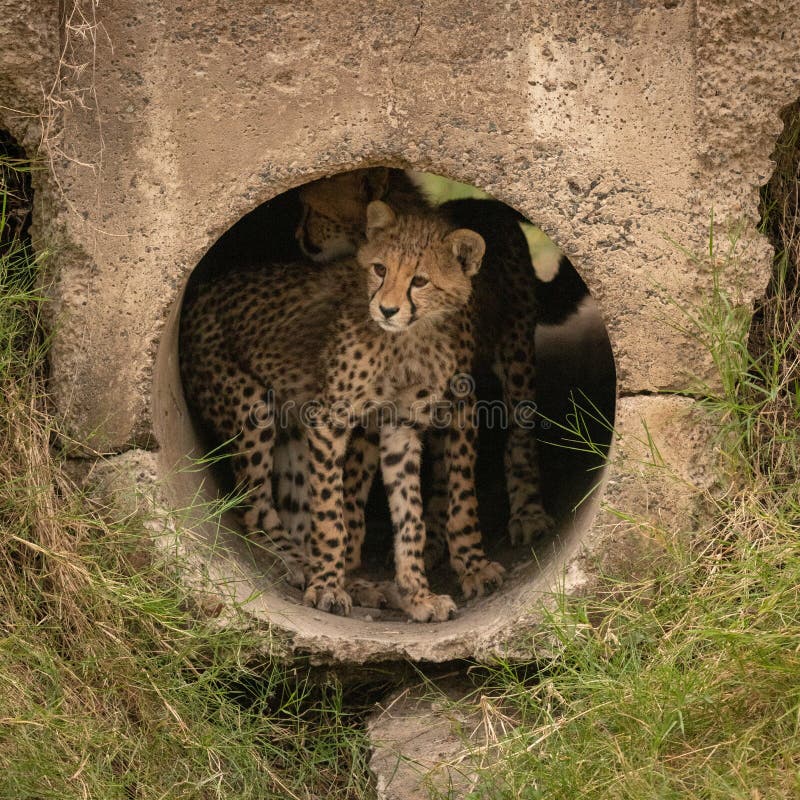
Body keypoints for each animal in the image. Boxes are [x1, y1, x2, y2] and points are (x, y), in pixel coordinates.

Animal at [180, 200, 505, 622]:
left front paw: (418, 595)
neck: (409, 338)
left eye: (420, 281)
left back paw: (367, 585)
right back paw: (301, 564)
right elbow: (331, 514)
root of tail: (198, 293)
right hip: (252, 406)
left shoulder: (400, 427)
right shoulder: (329, 421)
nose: (386, 309)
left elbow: (410, 517)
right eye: (380, 269)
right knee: (253, 506)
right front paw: (327, 588)